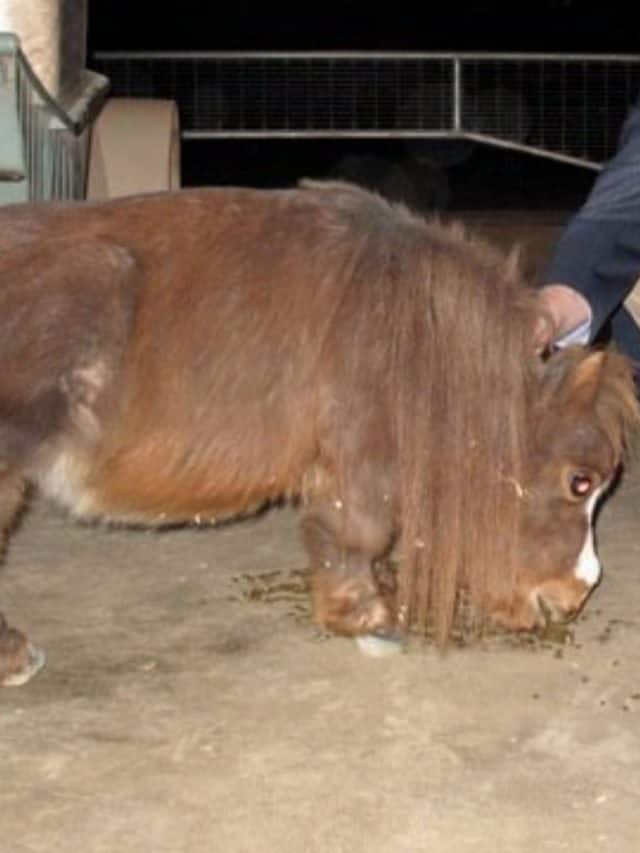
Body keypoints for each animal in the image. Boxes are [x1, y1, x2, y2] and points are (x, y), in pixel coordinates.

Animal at [0, 180, 638, 686]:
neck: (419, 336)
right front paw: (367, 617)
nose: (578, 593)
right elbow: (361, 531)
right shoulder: (362, 454)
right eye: (579, 482)